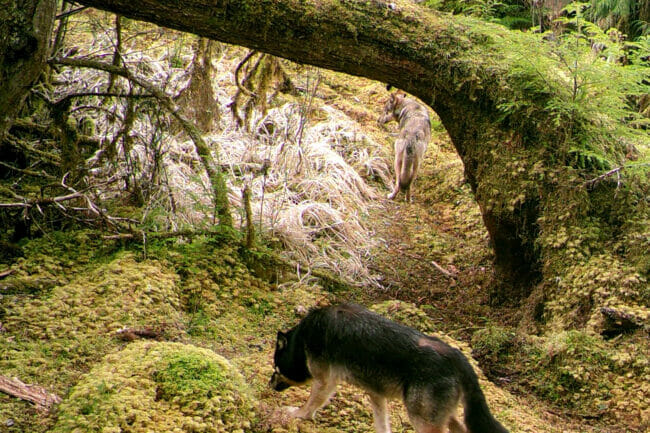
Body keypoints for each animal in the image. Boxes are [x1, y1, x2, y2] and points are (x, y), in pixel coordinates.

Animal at [270, 303, 509, 433]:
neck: (303, 339)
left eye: (275, 367)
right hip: (440, 415)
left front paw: (297, 414)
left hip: (422, 419)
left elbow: (309, 405)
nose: (269, 383)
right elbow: (382, 424)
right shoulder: (376, 394)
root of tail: (459, 358)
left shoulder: (325, 381)